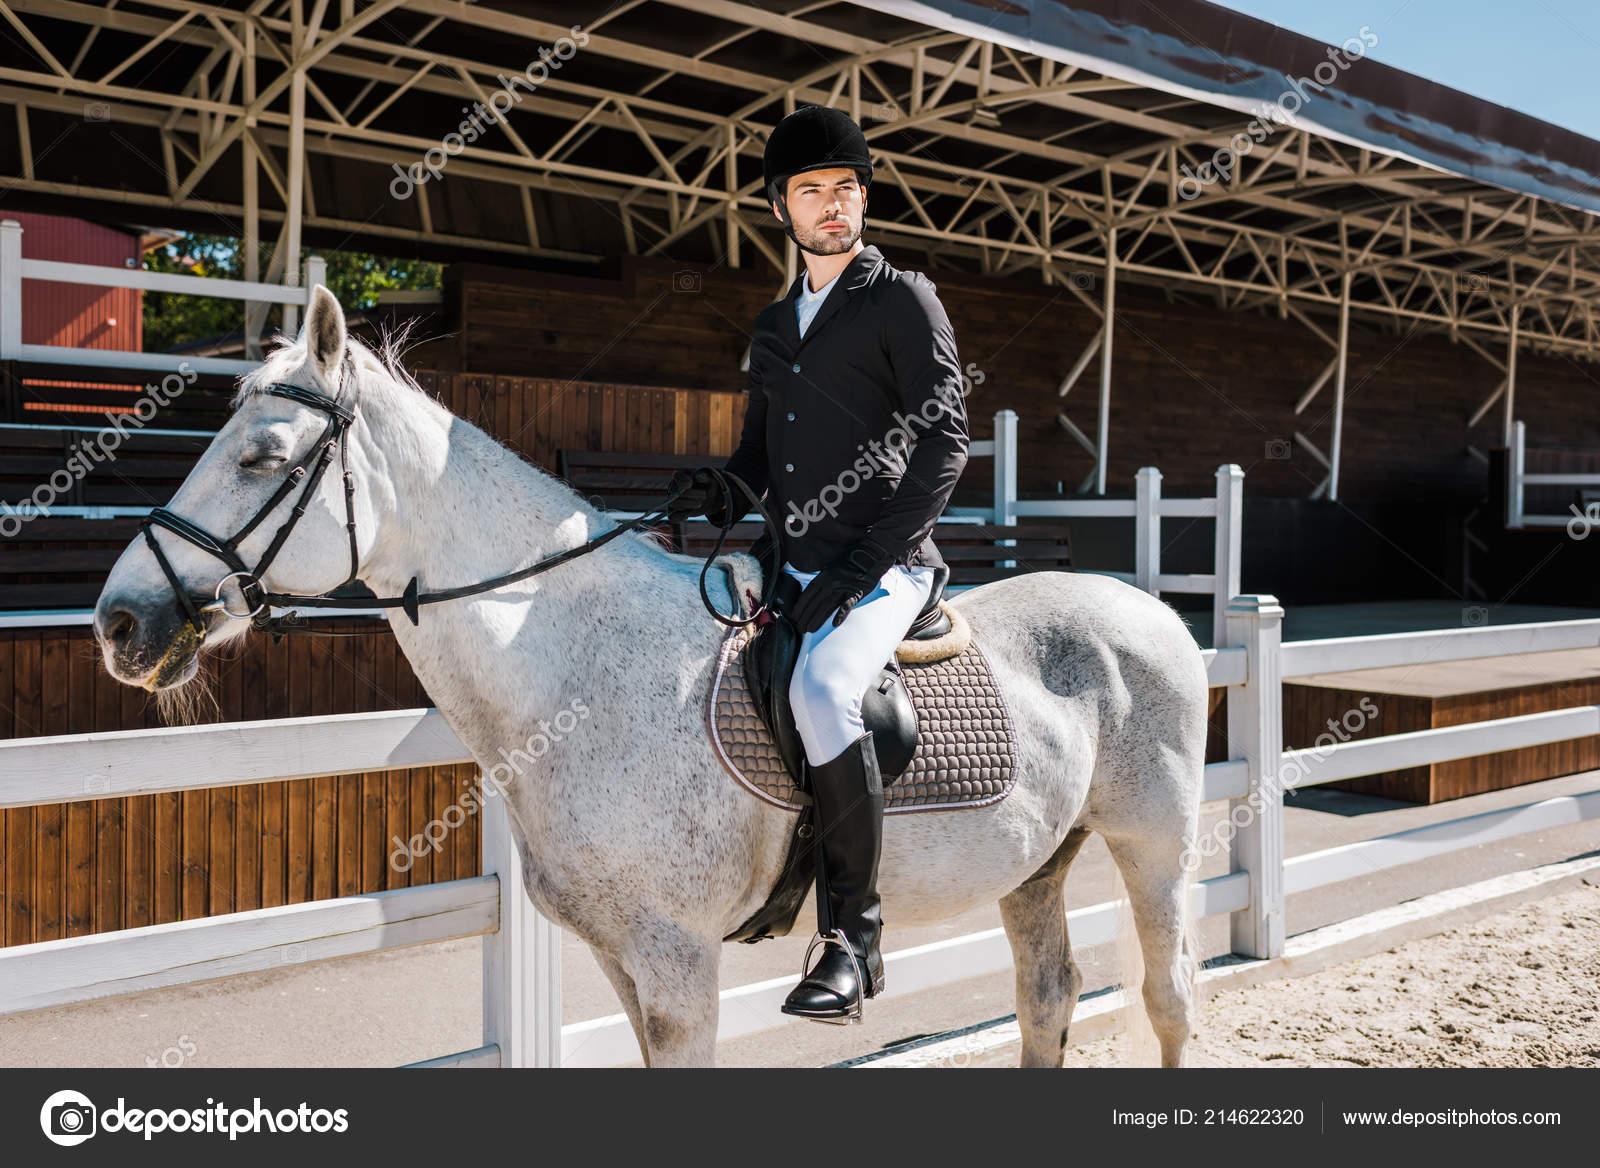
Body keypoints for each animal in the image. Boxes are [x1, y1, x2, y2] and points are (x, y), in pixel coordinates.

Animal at [92, 287, 1210, 1067]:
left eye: (264, 457)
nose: (119, 622)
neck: (580, 673)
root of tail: (1146, 604)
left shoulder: (677, 961)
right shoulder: (618, 958)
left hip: (1151, 846)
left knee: (1167, 1000)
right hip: (1038, 864)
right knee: (1048, 998)